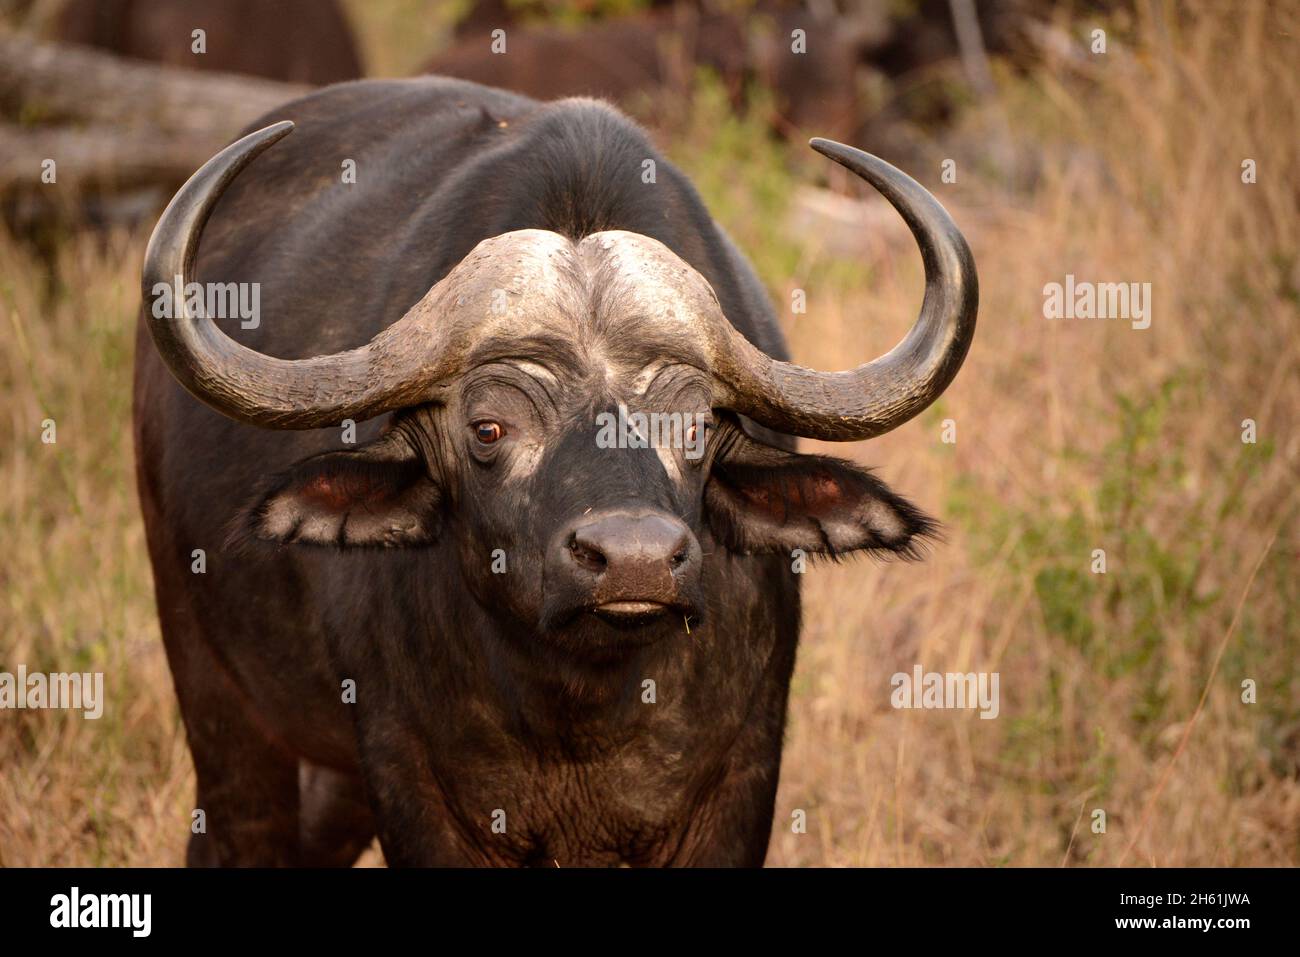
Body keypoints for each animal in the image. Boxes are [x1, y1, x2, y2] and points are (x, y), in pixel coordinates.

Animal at [134, 77, 975, 866]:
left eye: (695, 425)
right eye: (489, 428)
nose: (635, 560)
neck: (580, 708)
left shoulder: (741, 784)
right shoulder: (412, 787)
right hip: (217, 693)